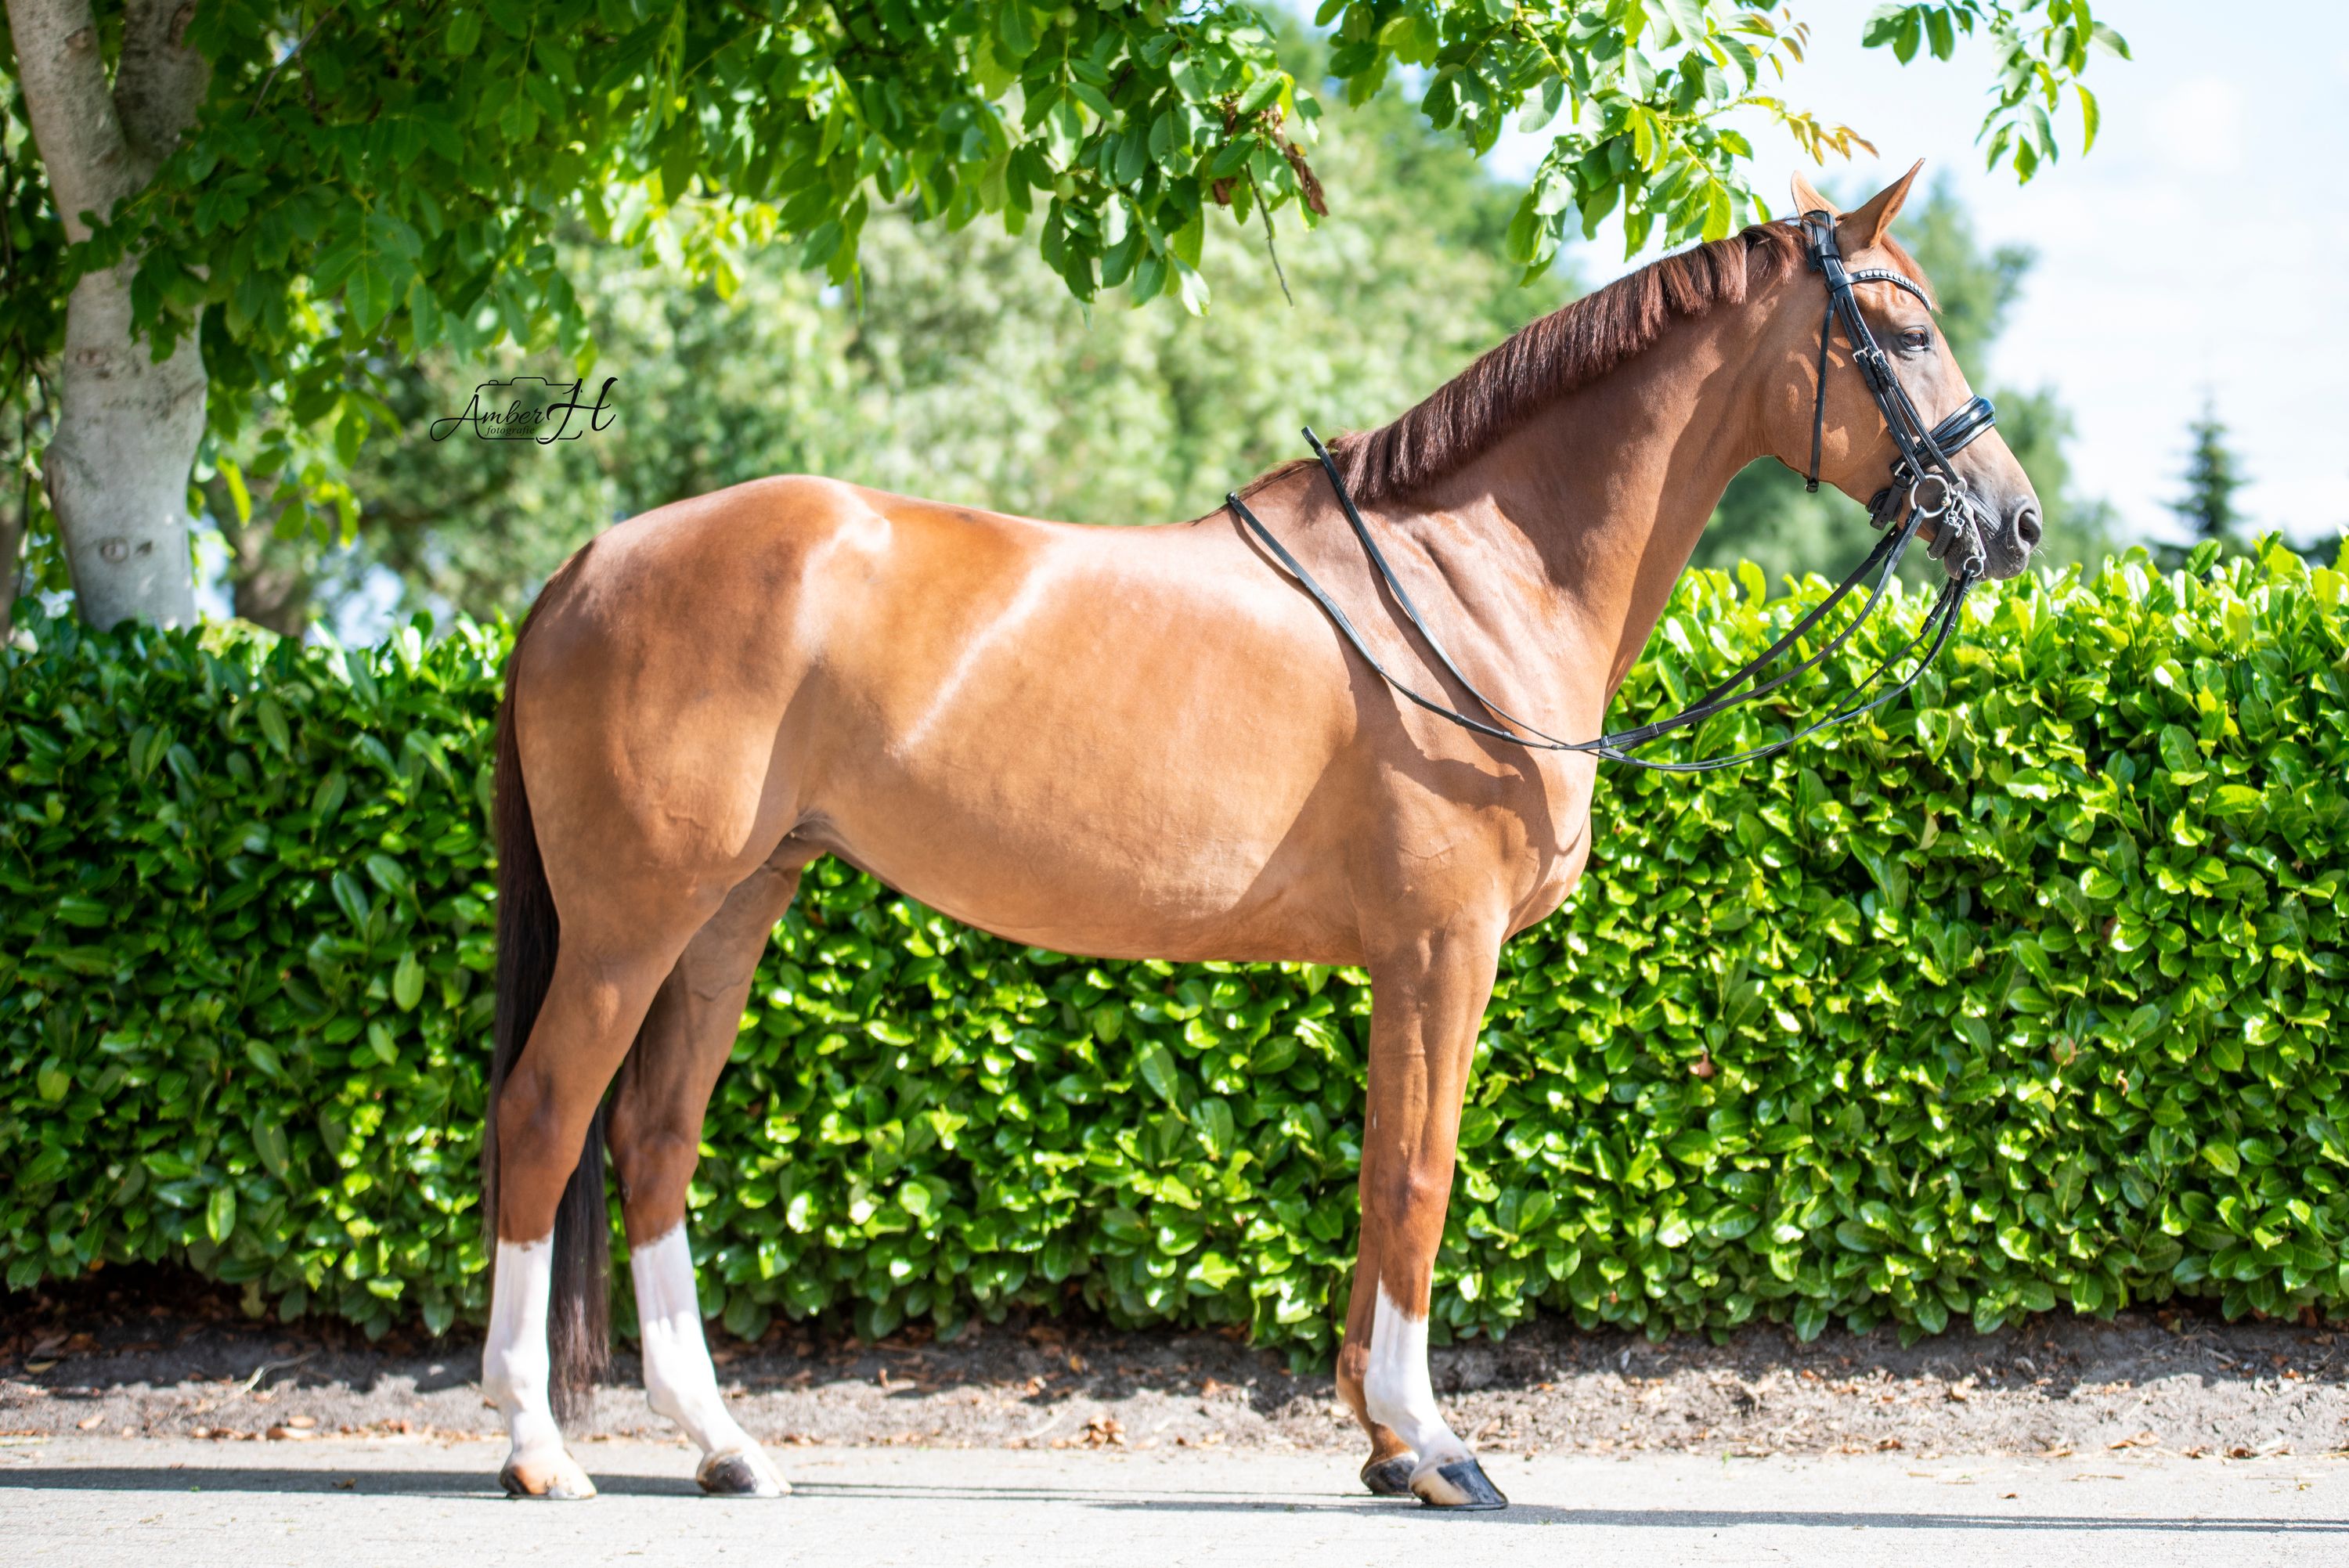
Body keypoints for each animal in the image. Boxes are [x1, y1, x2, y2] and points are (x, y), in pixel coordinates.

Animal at [477, 163, 2042, 1507]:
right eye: (1907, 329)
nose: (2014, 520)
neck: (1467, 578)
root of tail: (586, 564)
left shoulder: (1403, 962)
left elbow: (1377, 1171)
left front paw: (1384, 1444)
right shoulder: (1442, 948)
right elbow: (1419, 1172)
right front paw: (1435, 1443)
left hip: (735, 904)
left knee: (655, 1136)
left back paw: (722, 1443)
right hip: (631, 920)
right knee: (546, 1117)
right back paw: (537, 1444)